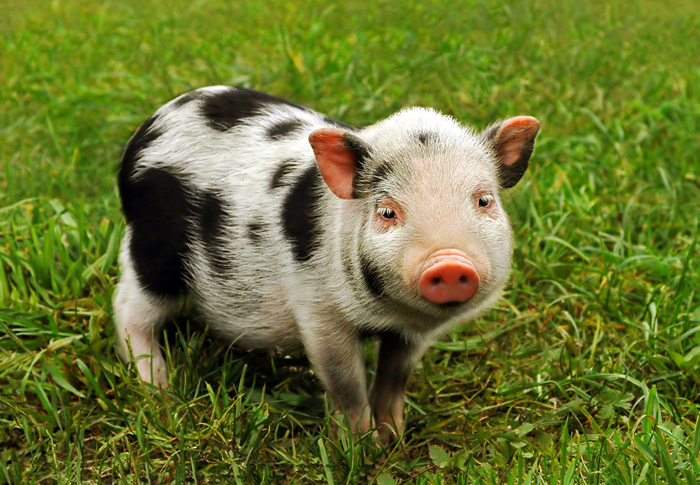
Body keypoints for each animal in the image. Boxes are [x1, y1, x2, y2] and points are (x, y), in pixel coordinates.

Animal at [113, 85, 539, 438]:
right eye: (387, 212)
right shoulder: (319, 312)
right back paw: (160, 391)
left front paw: (394, 438)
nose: (450, 264)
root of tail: (144, 133)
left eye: (484, 200)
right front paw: (358, 446)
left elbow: (395, 376)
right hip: (152, 249)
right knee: (128, 308)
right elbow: (344, 381)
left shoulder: (411, 334)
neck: (389, 313)